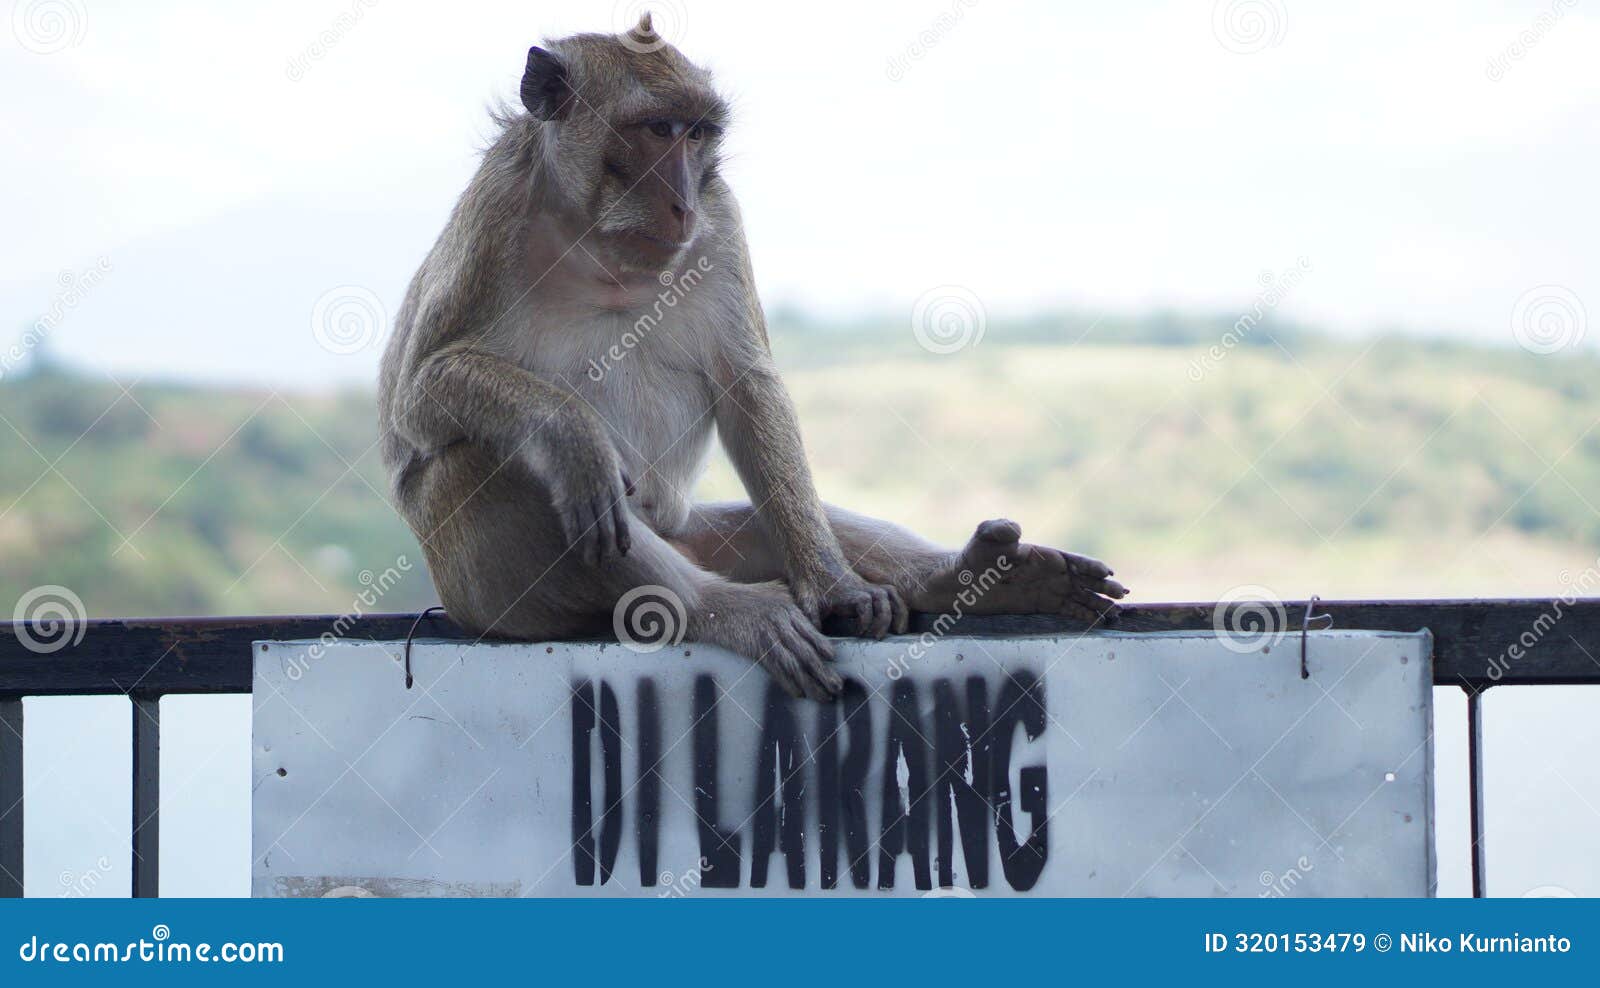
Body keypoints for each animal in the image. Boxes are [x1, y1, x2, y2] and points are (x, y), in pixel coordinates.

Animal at [377, 15, 1128, 701]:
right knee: (496, 465)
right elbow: (417, 397)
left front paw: (838, 586)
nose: (681, 201)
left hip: (687, 527)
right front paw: (574, 431)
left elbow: (749, 386)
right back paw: (723, 606)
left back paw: (957, 577)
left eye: (698, 134)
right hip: (485, 587)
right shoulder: (495, 218)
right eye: (656, 129)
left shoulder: (722, 219)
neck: (598, 237)